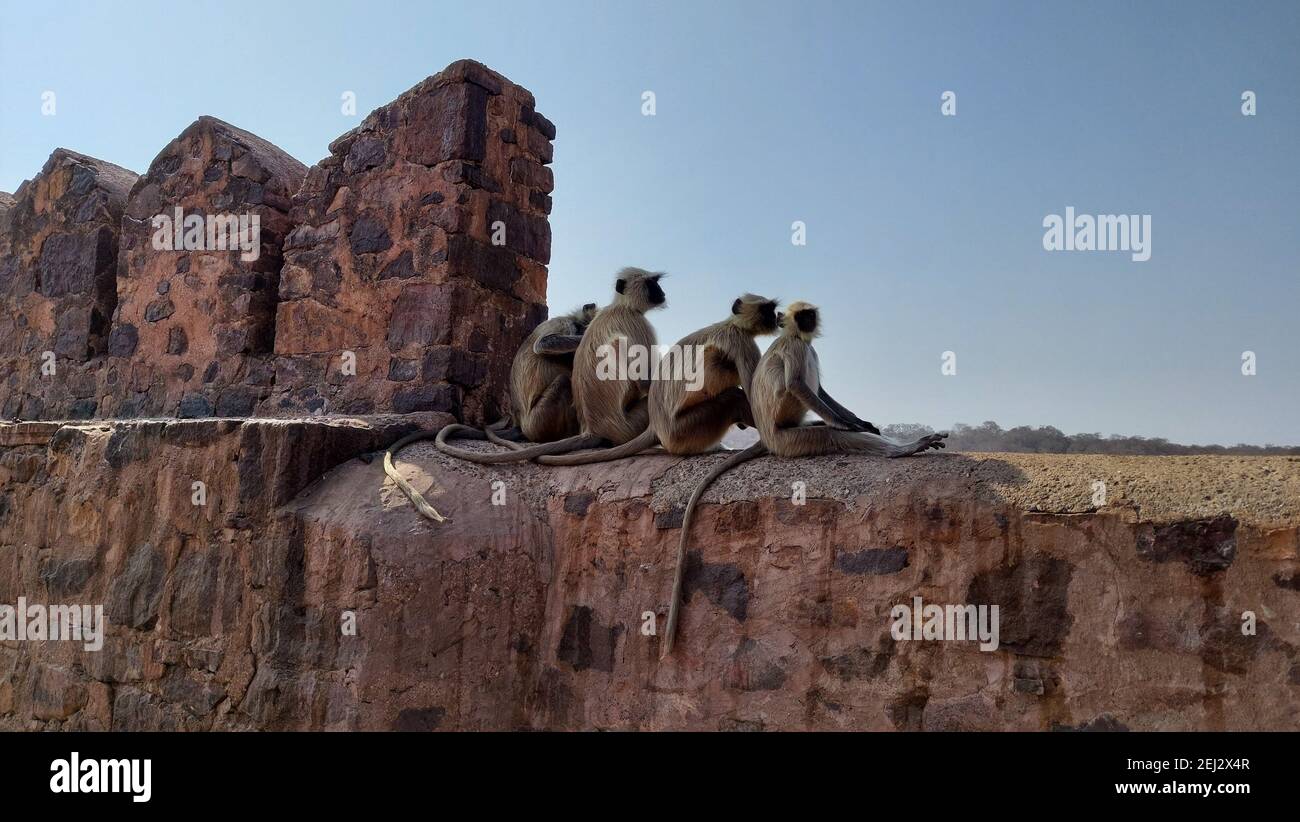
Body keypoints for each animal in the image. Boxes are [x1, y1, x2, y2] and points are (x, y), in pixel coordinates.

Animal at [534, 294, 783, 466]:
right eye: (767, 309)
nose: (775, 317)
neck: (730, 324)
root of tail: (656, 427)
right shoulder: (742, 342)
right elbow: (752, 394)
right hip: (686, 429)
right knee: (734, 398)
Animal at [659, 301, 946, 656]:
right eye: (802, 316)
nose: (808, 322)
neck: (794, 335)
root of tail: (769, 437)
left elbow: (820, 389)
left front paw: (860, 420)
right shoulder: (796, 348)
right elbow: (799, 384)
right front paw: (847, 424)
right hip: (789, 439)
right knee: (826, 429)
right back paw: (899, 448)